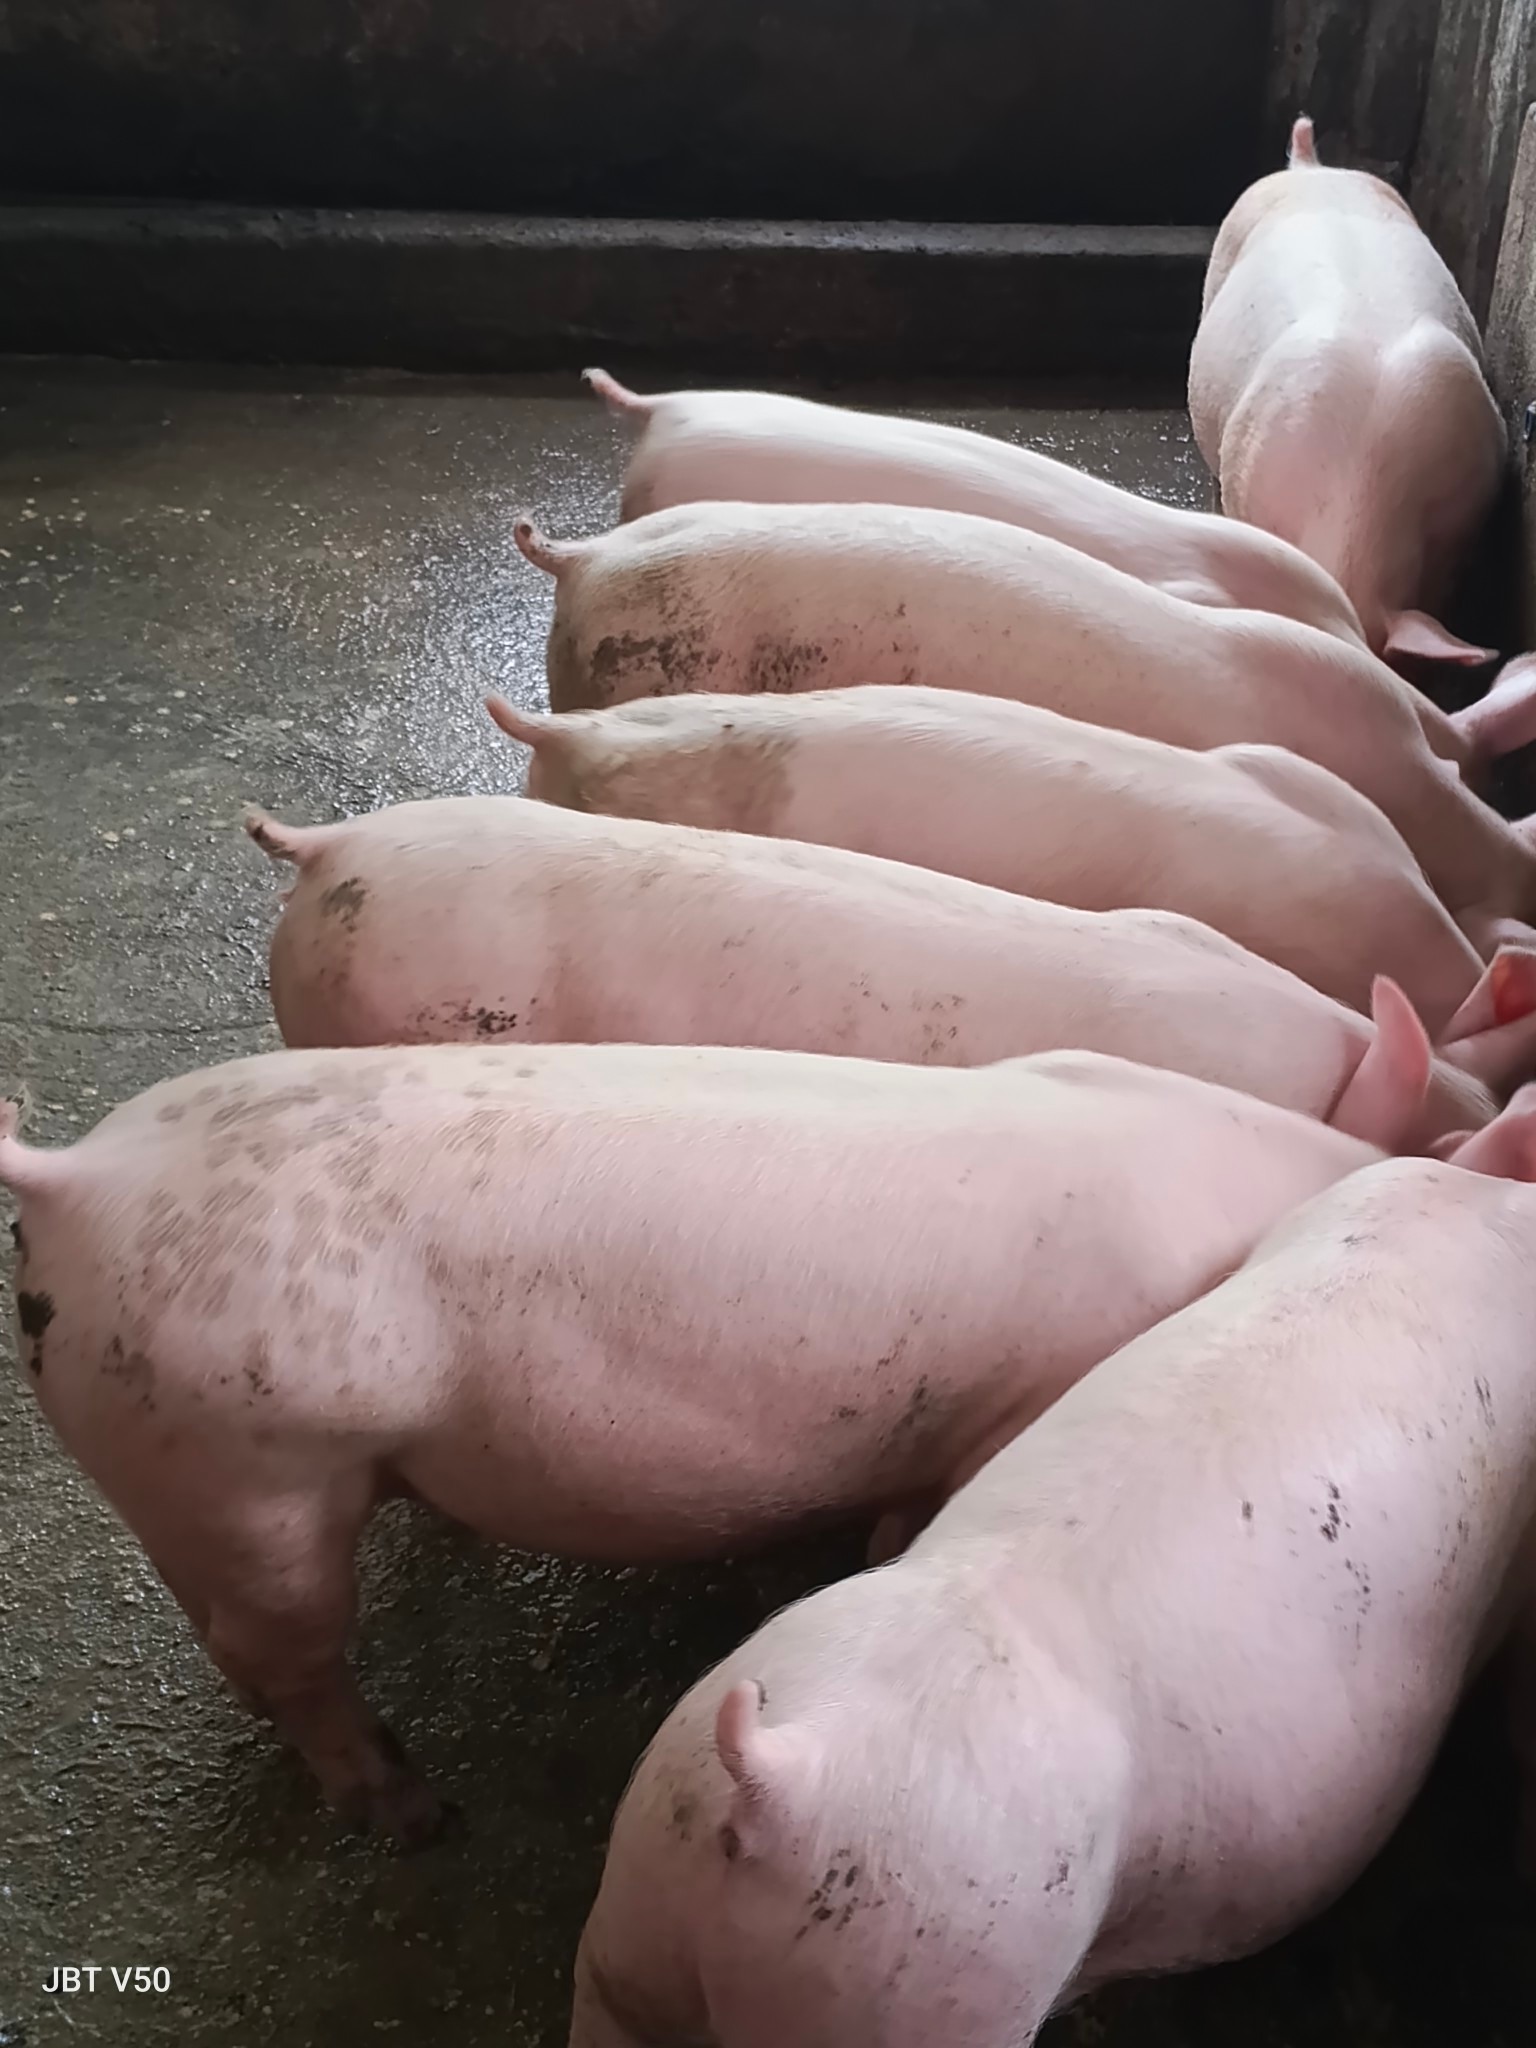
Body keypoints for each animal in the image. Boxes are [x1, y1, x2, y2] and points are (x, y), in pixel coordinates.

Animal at [0, 1035, 1431, 1839]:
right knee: (288, 1651)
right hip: (251, 1461)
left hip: (199, 1469)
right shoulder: (1024, 1398)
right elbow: (929, 1504)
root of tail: (79, 1178)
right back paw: (416, 1813)